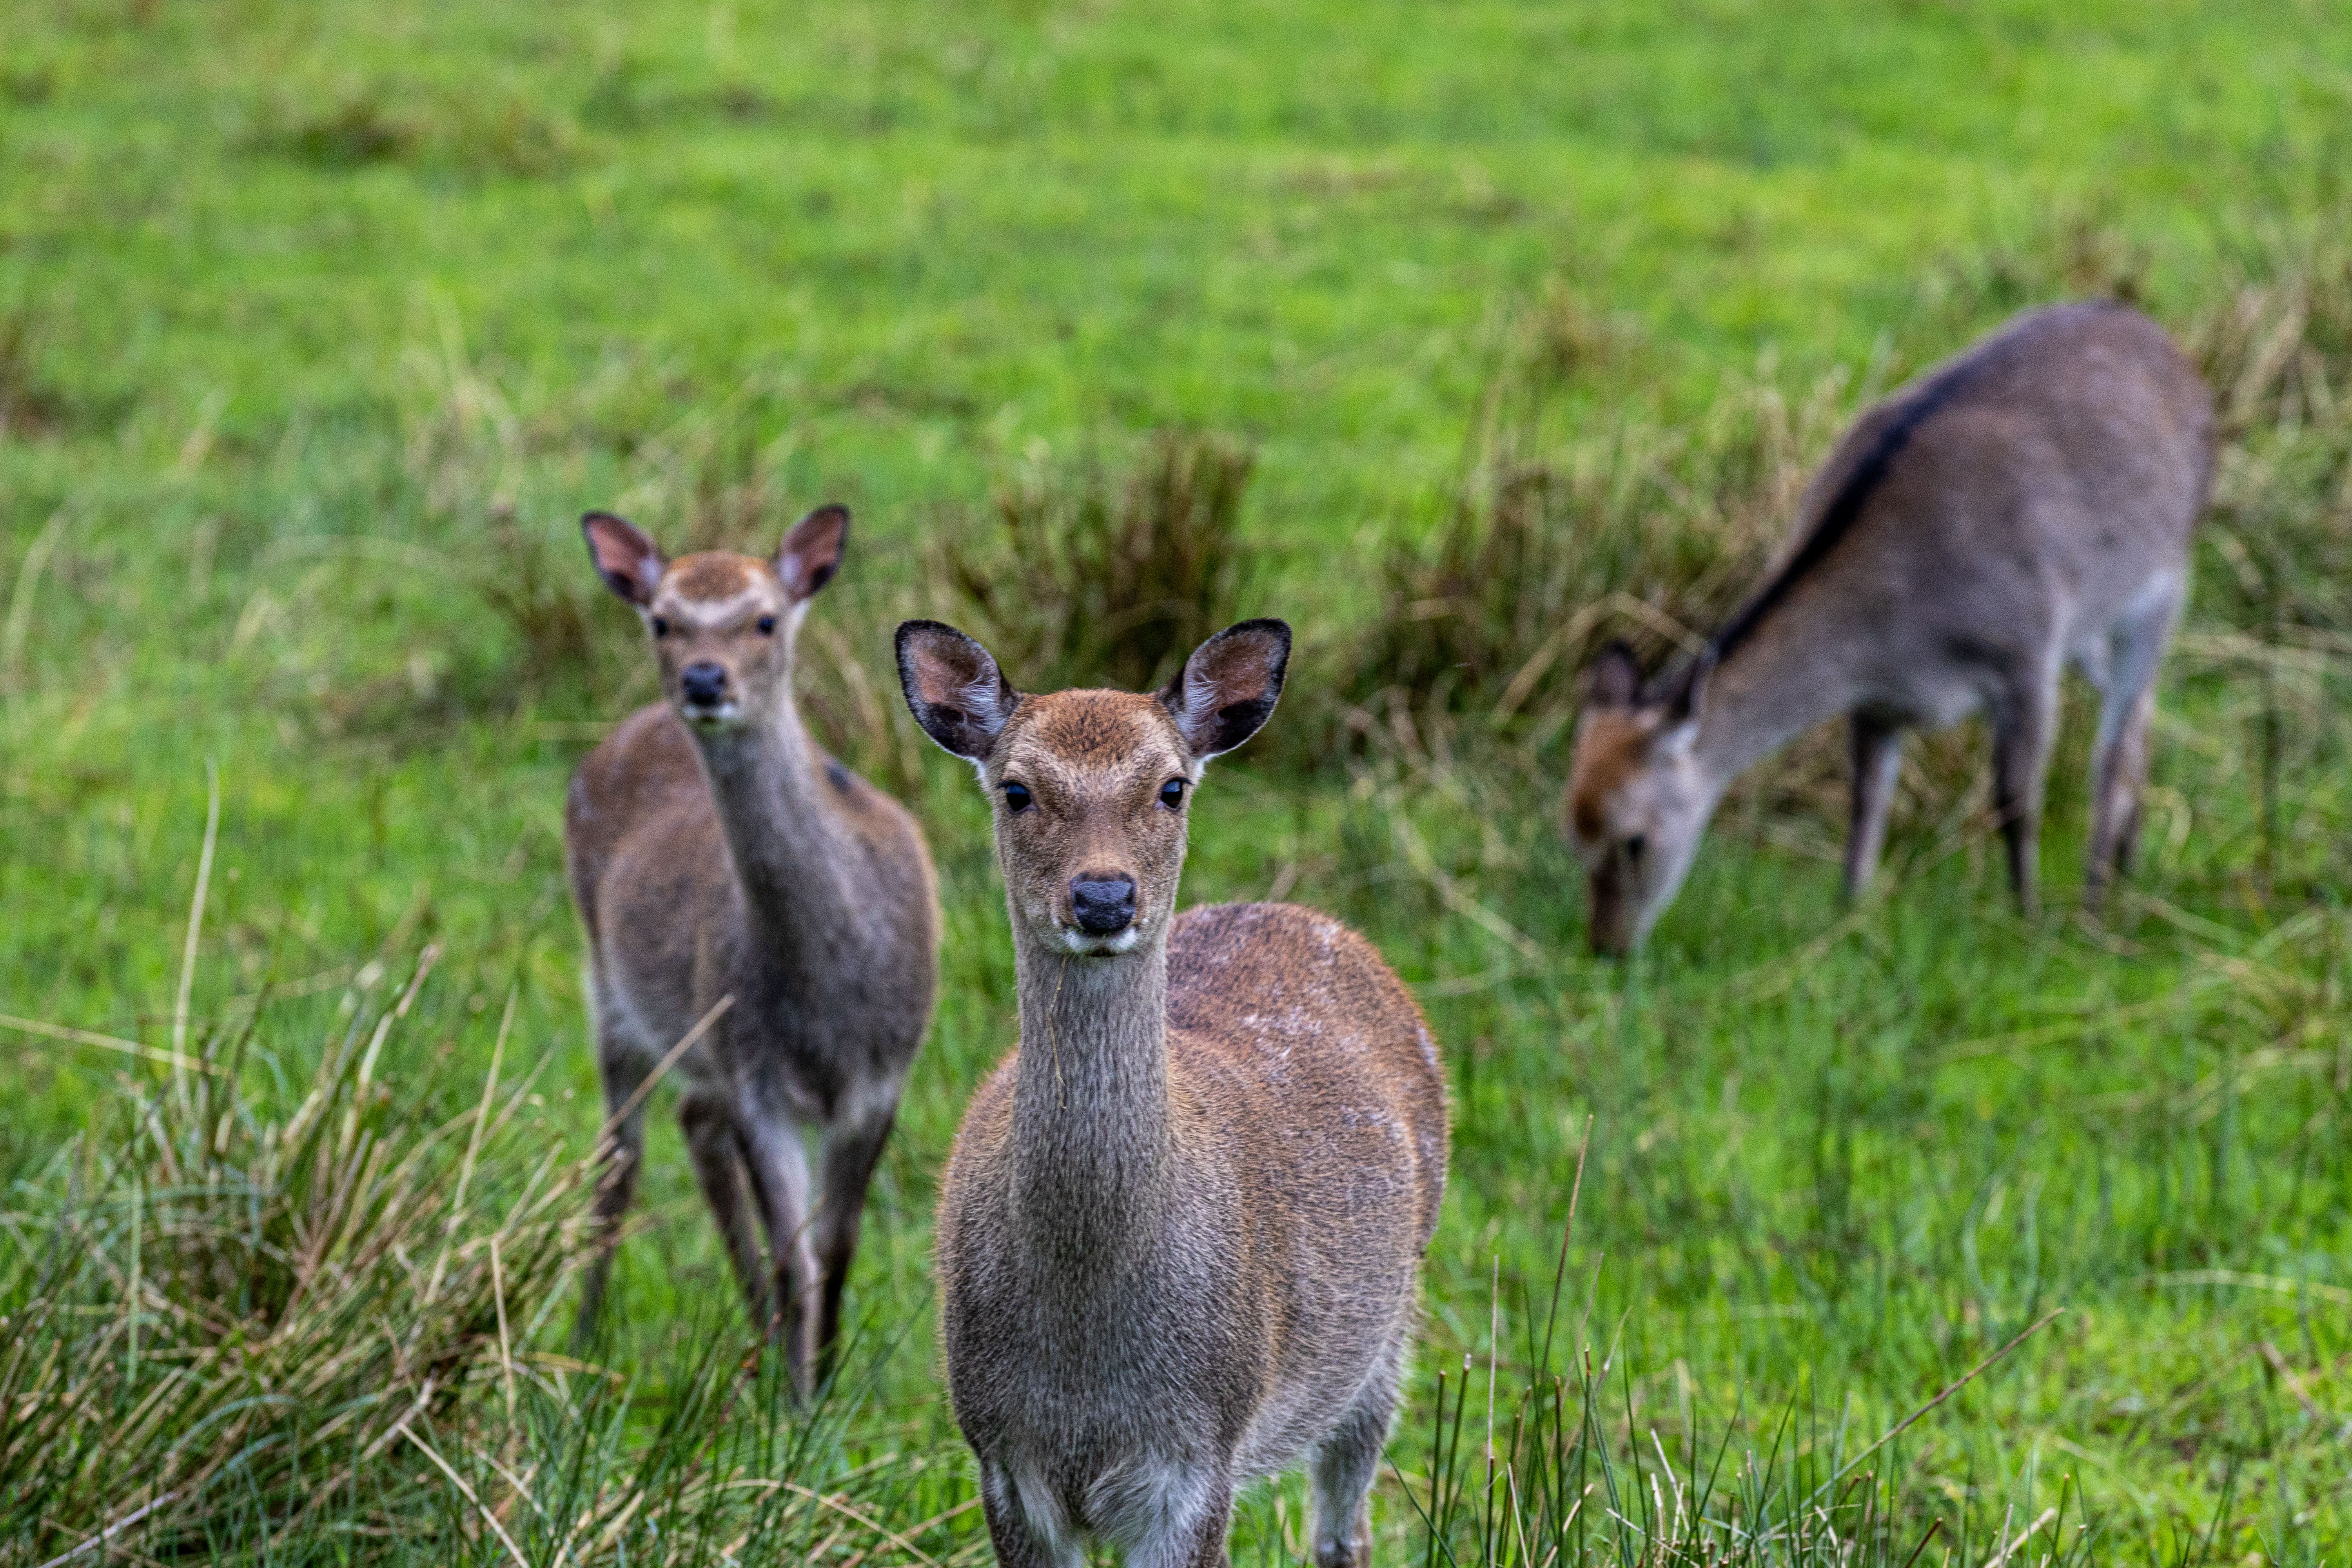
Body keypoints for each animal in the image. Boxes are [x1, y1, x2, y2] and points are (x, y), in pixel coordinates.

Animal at [565, 504, 938, 1392]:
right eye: (662, 620)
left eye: (765, 619)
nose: (705, 681)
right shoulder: (757, 1077)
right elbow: (794, 1253)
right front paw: (800, 1398)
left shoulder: (885, 1076)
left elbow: (837, 1245)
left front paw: (823, 1378)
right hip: (613, 993)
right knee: (622, 1152)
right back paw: (588, 1335)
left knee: (695, 1122)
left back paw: (759, 1342)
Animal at [895, 617, 1448, 1568]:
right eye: (1016, 788)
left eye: (1171, 786)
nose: (1103, 897)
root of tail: (1314, 917)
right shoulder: (998, 1454)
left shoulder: (1197, 1458)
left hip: (1385, 1334)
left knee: (1346, 1522)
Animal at [1566, 300, 2214, 955]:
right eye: (1571, 833)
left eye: (1635, 840)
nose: (1606, 949)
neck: (1897, 631)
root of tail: (2170, 347)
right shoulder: (1878, 701)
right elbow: (1866, 801)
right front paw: (1848, 911)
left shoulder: (2026, 649)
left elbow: (2015, 800)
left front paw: (2026, 922)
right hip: (2090, 626)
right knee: (2141, 712)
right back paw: (2127, 866)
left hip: (2165, 583)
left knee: (2114, 742)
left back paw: (2094, 902)